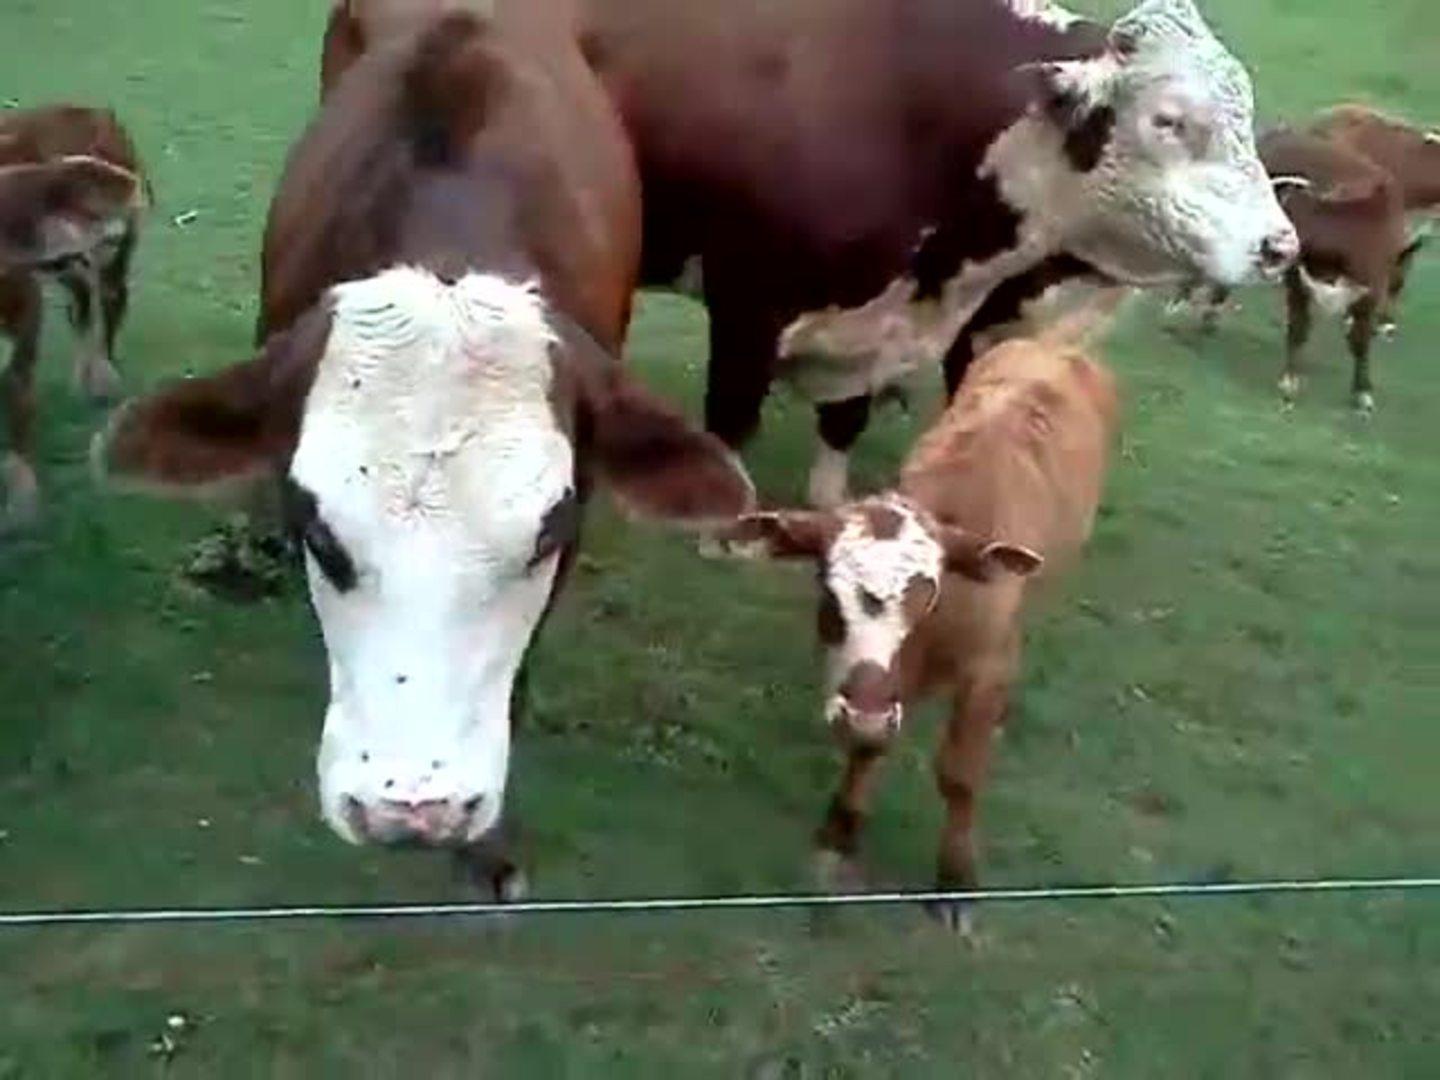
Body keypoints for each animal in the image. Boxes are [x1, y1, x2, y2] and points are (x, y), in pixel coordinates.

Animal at [318, 0, 1296, 509]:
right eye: (1169, 120)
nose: (1279, 245)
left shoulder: (879, 322)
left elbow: (844, 423)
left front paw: (831, 506)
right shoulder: (752, 302)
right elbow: (731, 426)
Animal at [715, 323, 1117, 931]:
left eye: (926, 595)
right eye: (828, 591)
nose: (864, 710)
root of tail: (1053, 342)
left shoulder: (987, 668)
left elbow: (960, 773)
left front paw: (954, 881)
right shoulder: (880, 688)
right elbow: (869, 749)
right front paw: (839, 835)